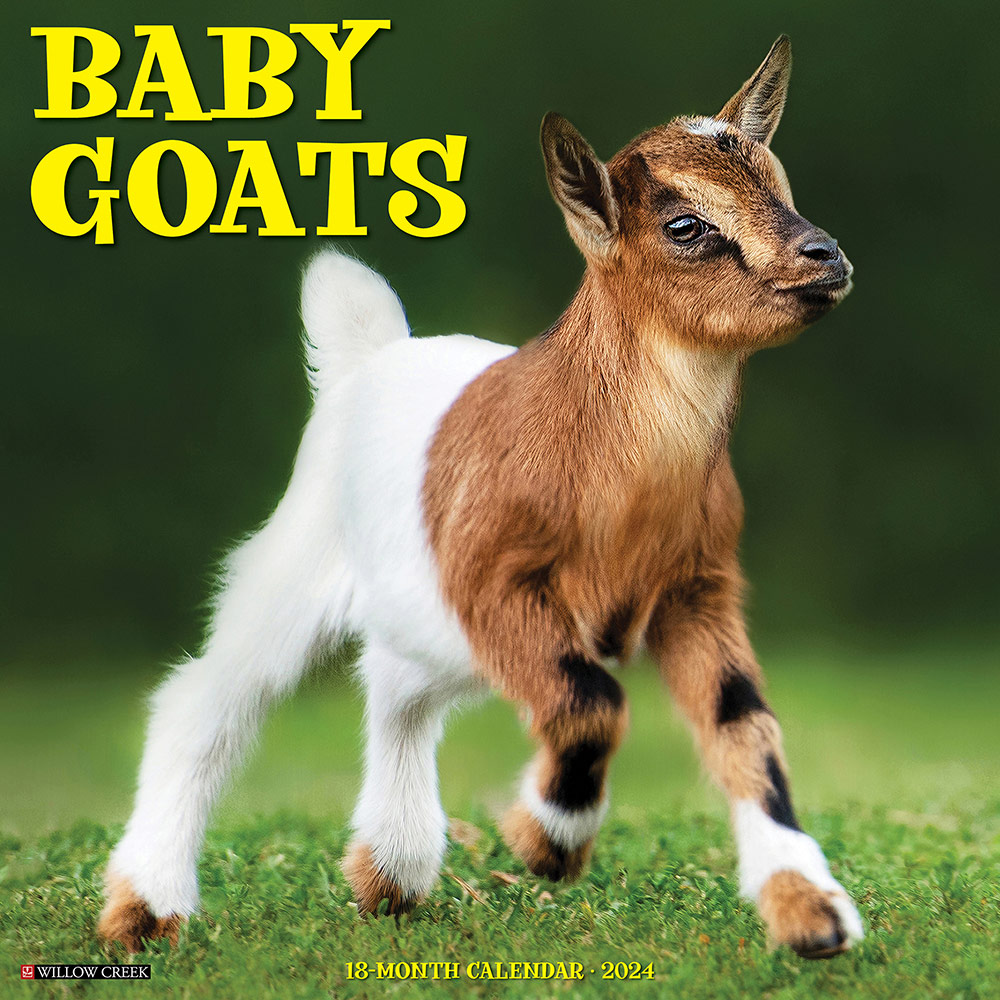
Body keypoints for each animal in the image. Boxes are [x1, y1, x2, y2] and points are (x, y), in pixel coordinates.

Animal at [99, 35, 864, 959]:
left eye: (782, 185)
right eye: (686, 225)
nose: (827, 257)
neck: (613, 474)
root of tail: (369, 356)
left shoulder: (697, 590)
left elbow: (745, 727)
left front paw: (812, 915)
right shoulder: (497, 582)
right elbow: (591, 702)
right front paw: (546, 844)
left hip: (431, 623)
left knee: (394, 685)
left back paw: (389, 874)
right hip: (298, 568)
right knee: (206, 699)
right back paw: (146, 910)